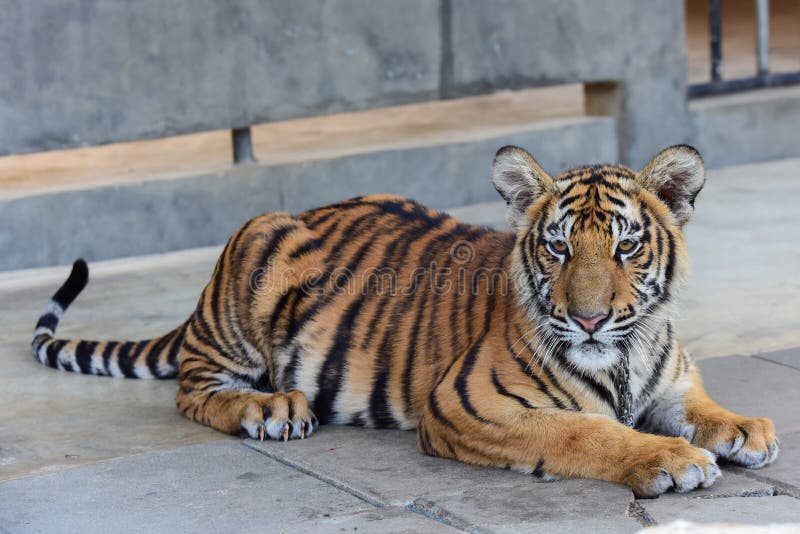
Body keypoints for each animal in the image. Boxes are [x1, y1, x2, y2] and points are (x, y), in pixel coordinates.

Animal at [31, 144, 778, 497]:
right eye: (559, 248)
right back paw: (270, 408)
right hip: (254, 249)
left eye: (626, 247)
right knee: (195, 389)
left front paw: (745, 428)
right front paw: (671, 460)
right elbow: (584, 432)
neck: (623, 356)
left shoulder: (669, 380)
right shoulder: (468, 403)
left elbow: (700, 403)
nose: (589, 319)